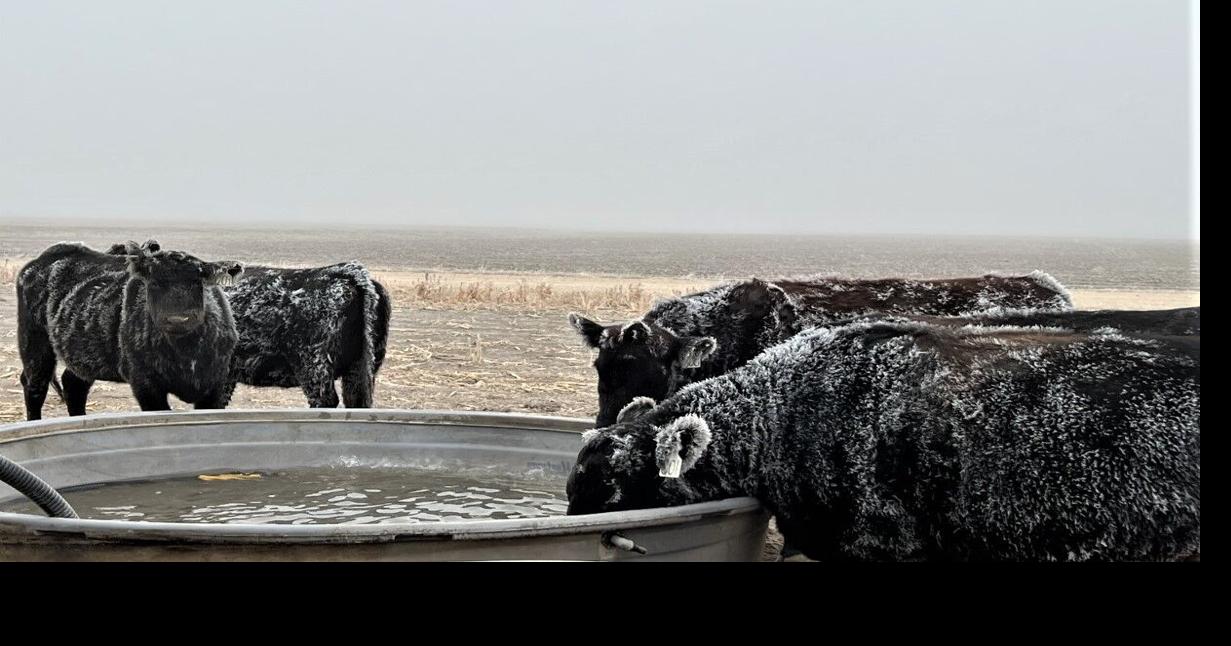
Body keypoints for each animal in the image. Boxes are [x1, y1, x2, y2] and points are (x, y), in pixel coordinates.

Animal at [16, 241, 243, 419]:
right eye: (154, 284)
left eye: (197, 283)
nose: (177, 319)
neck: (186, 351)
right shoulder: (145, 383)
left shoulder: (216, 383)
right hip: (34, 341)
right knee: (35, 385)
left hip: (83, 352)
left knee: (73, 385)